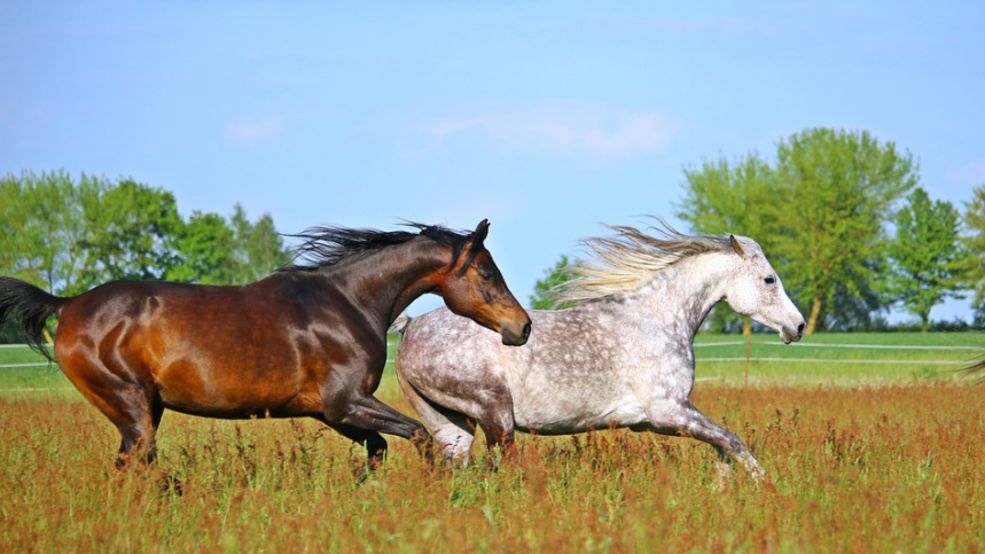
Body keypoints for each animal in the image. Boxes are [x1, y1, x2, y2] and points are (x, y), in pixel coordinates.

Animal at [0, 219, 531, 480]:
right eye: (487, 272)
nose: (522, 327)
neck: (349, 302)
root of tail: (68, 304)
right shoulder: (346, 403)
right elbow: (419, 436)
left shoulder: (329, 412)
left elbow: (378, 449)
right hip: (130, 406)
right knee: (141, 466)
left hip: (145, 409)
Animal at [391, 221, 805, 481]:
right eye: (769, 279)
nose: (798, 326)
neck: (657, 318)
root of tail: (410, 326)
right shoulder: (669, 411)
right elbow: (732, 442)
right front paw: (765, 488)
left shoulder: (657, 420)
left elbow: (722, 447)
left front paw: (723, 488)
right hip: (495, 413)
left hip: (451, 425)